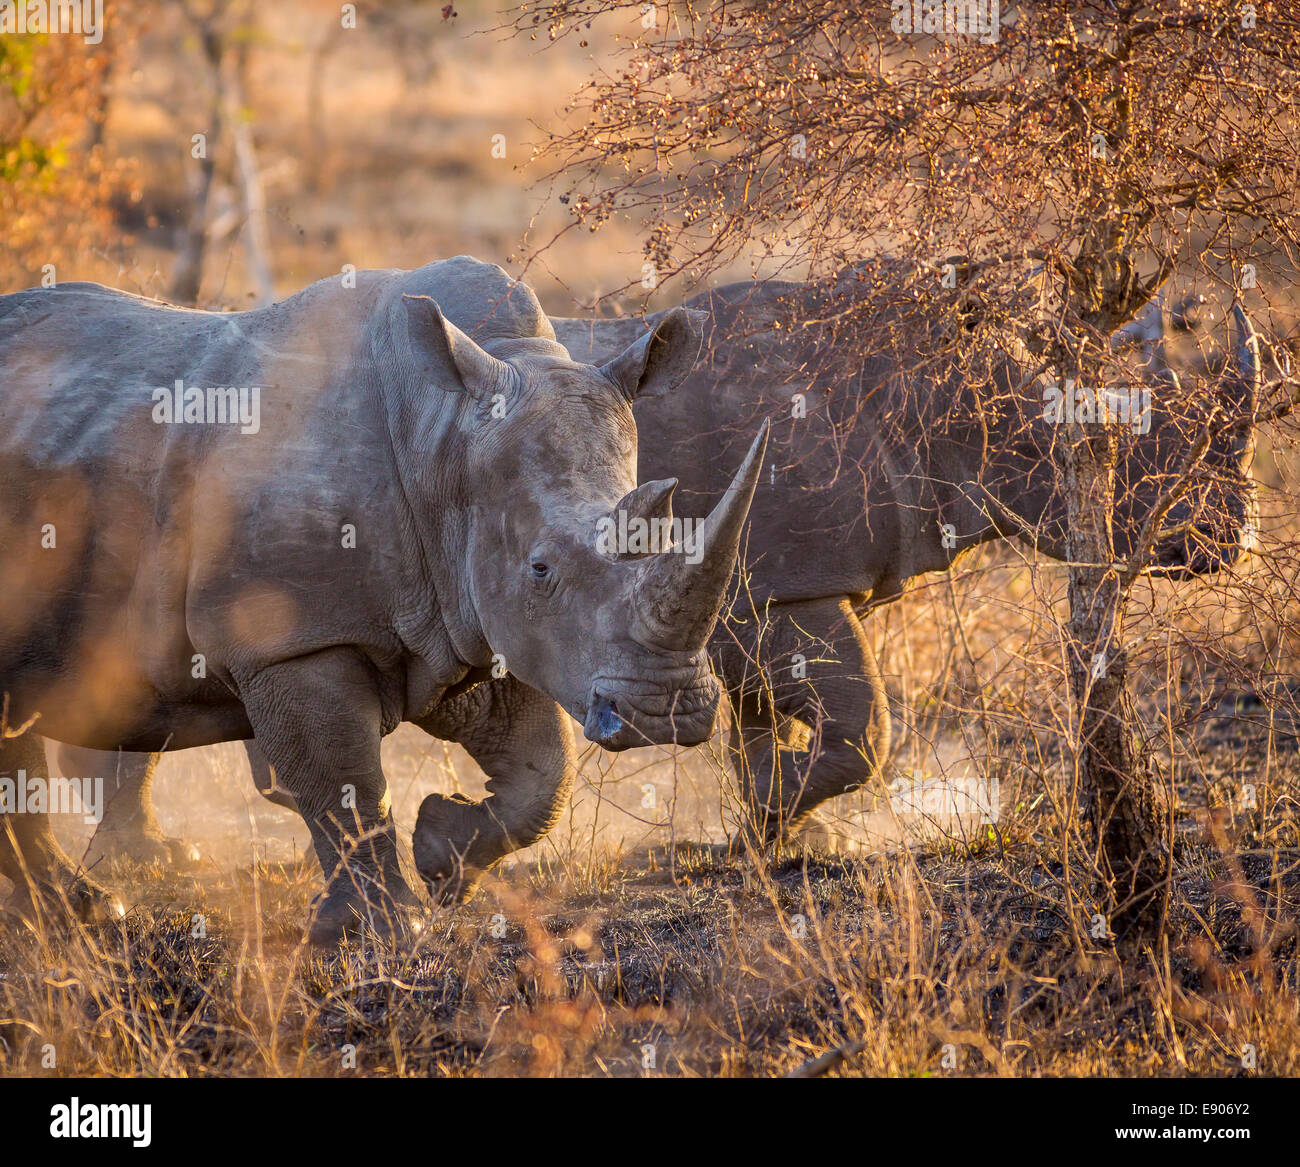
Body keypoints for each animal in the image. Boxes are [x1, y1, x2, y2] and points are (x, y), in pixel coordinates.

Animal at [0, 255, 767, 942]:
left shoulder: (463, 613)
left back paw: (80, 915)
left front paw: (442, 853)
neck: (444, 438)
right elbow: (346, 782)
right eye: (541, 568)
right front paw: (380, 932)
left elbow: (543, 773)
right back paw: (86, 914)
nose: (668, 713)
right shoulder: (295, 640)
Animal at [61, 266, 1261, 862]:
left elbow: (793, 719)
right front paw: (767, 814)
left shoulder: (750, 591)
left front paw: (761, 828)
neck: (957, 395)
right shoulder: (785, 585)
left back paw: (144, 861)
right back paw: (146, 871)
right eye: (1118, 462)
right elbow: (864, 720)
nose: (1214, 545)